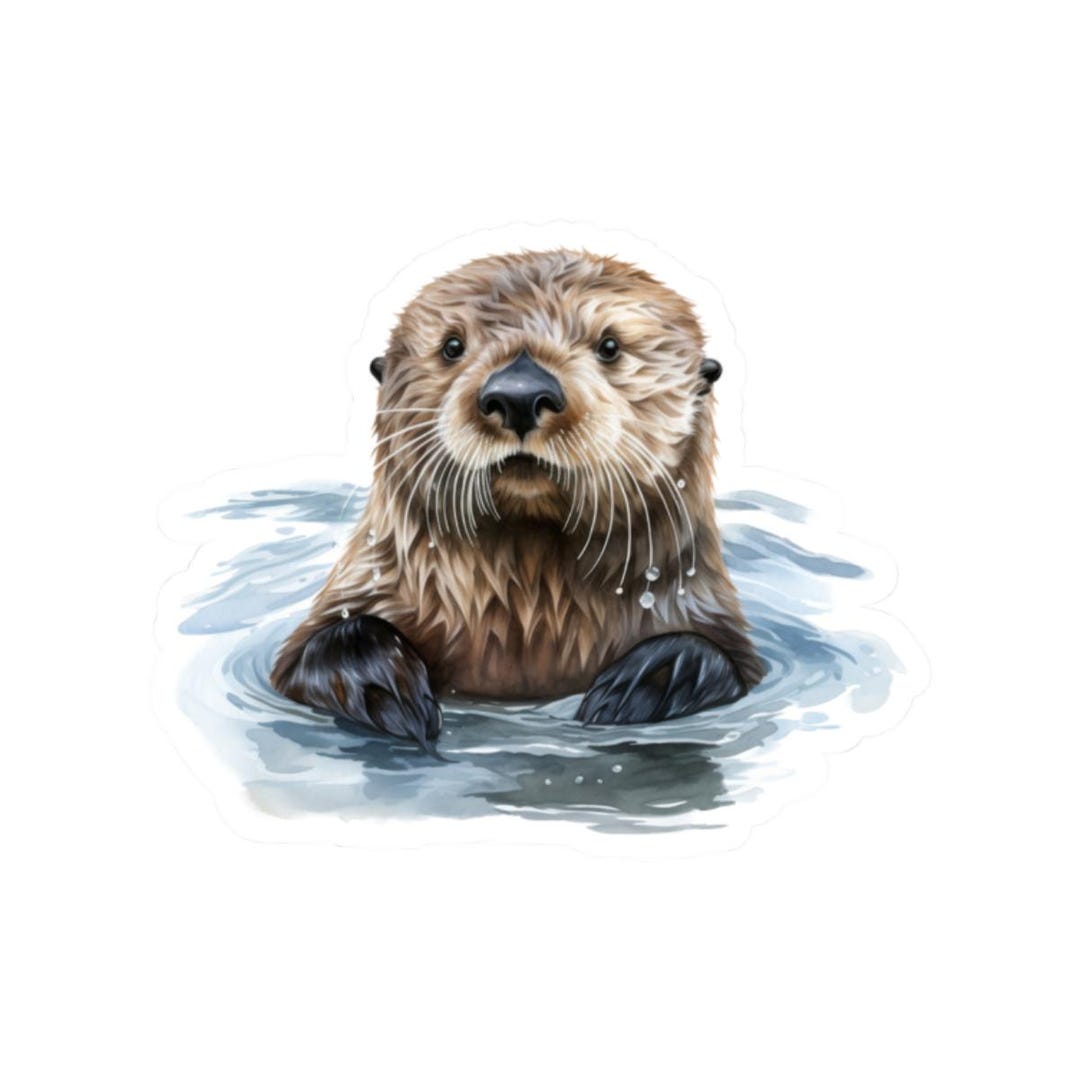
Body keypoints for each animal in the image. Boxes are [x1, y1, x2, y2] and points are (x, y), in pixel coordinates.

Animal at [270, 249, 765, 749]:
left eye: (609, 346)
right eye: (452, 346)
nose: (520, 394)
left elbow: (719, 655)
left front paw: (651, 680)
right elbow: (313, 653)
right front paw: (386, 686)